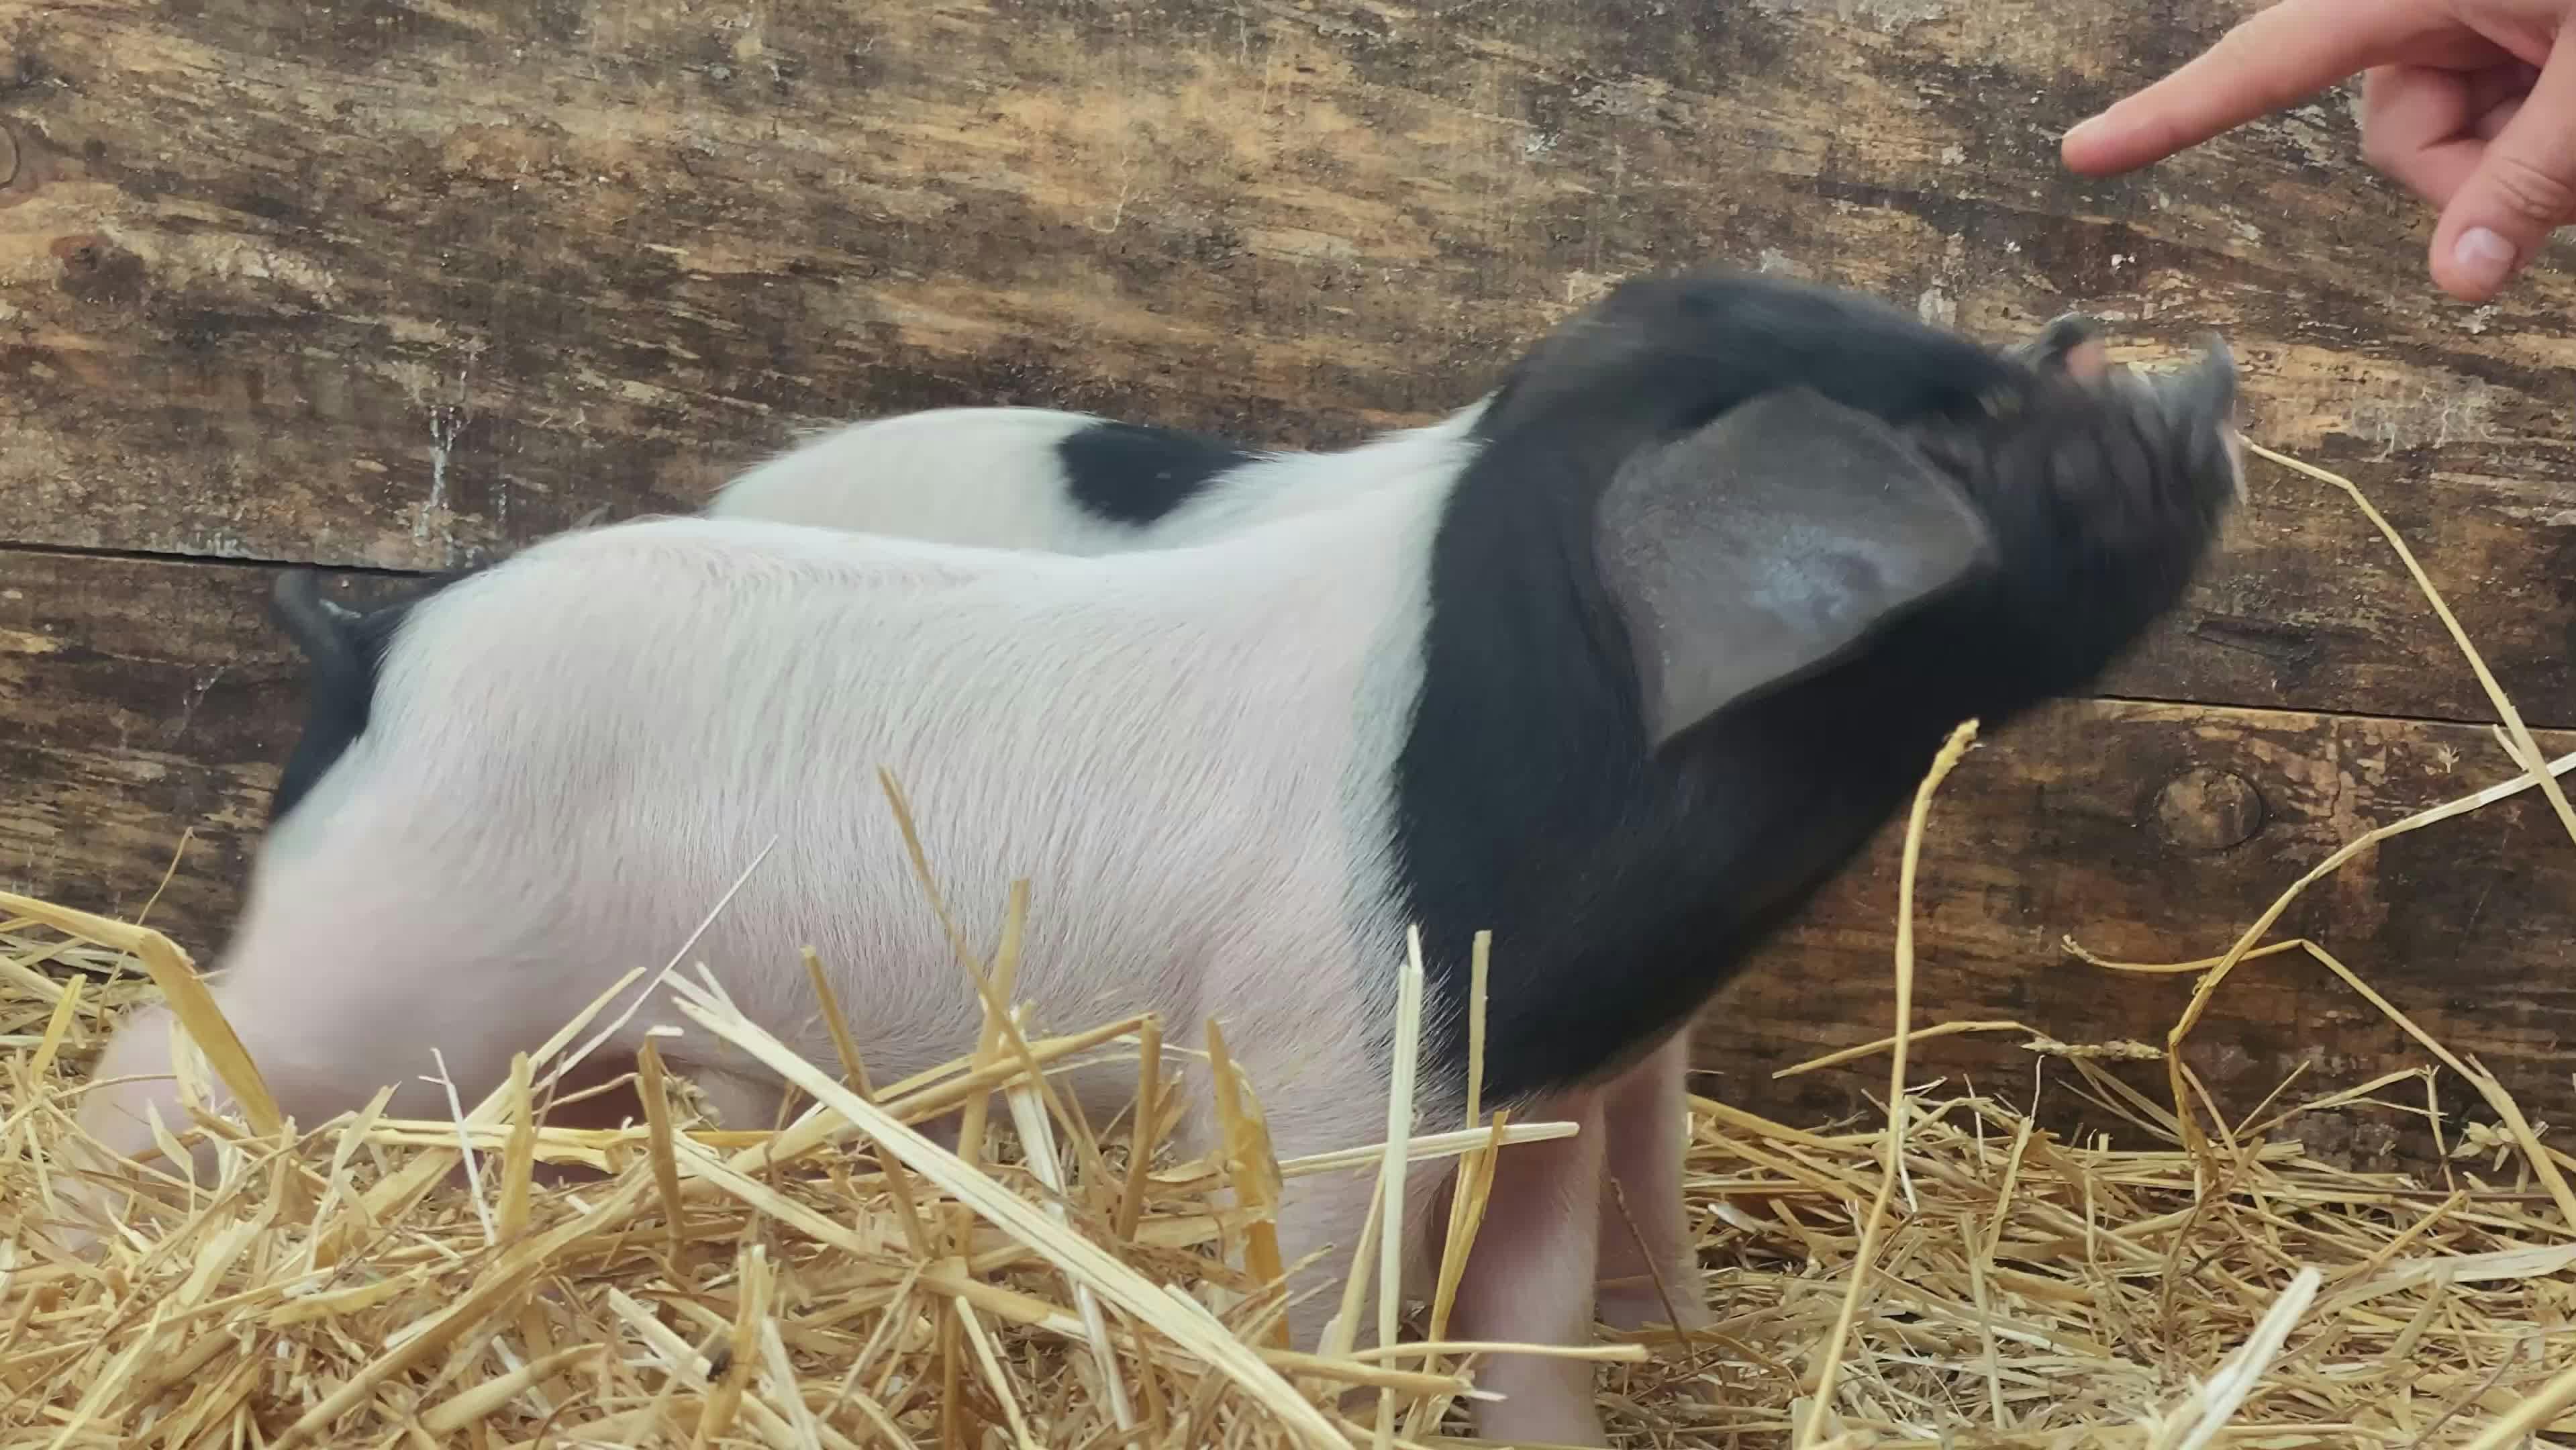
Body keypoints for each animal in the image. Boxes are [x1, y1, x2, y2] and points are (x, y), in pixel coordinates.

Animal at [63, 269, 2241, 1445]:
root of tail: (368, 650)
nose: (2209, 378)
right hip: (361, 964)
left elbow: (1529, 1325)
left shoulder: (1537, 1096)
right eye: (1967, 426)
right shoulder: (1319, 1067)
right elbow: (1315, 1311)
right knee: (150, 1070)